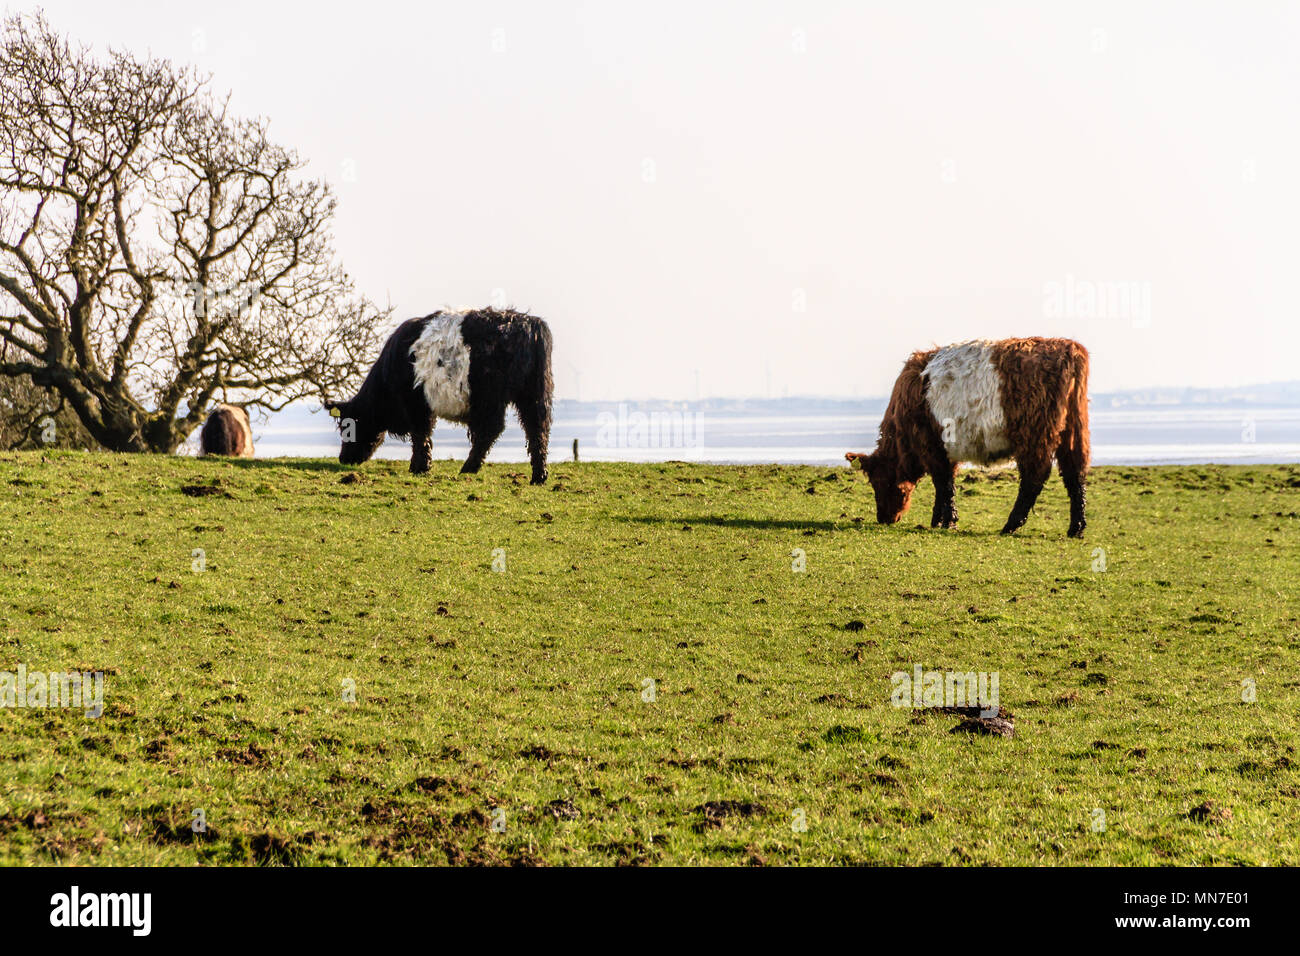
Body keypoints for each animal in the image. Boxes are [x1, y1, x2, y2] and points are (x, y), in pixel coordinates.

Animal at [324, 308, 553, 484]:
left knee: (492, 430)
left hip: (489, 397)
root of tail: (530, 322)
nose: (343, 459)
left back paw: (468, 469)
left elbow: (420, 434)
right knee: (537, 431)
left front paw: (419, 467)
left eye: (348, 426)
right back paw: (538, 477)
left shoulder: (416, 403)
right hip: (533, 396)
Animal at [845, 337, 1090, 537]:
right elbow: (944, 486)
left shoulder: (931, 446)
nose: (884, 518)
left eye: (879, 482)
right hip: (1075, 430)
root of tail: (1069, 347)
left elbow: (944, 484)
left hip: (1034, 436)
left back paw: (1010, 525)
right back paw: (1076, 528)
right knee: (1075, 472)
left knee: (1034, 477)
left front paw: (948, 522)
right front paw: (938, 520)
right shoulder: (944, 449)